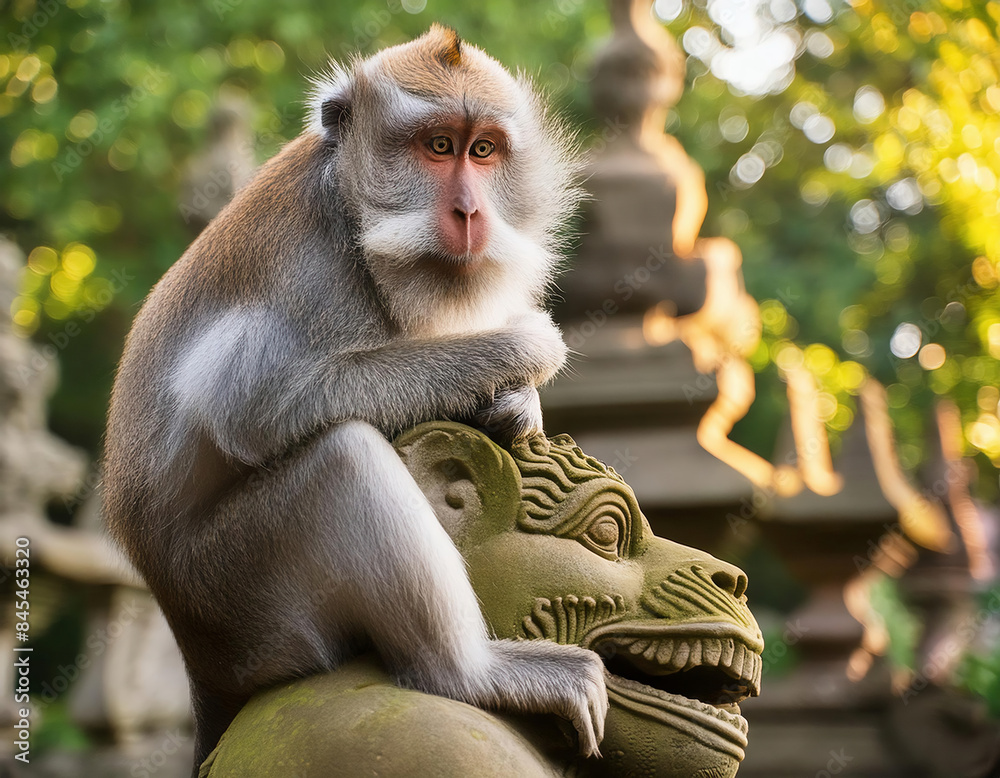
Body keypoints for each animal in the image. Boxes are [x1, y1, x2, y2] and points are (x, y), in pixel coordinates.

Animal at [102, 25, 607, 773]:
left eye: (483, 151)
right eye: (437, 147)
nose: (470, 212)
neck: (352, 212)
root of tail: (201, 663)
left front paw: (514, 405)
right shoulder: (310, 273)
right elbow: (250, 407)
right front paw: (523, 347)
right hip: (243, 591)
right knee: (342, 454)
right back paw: (465, 673)